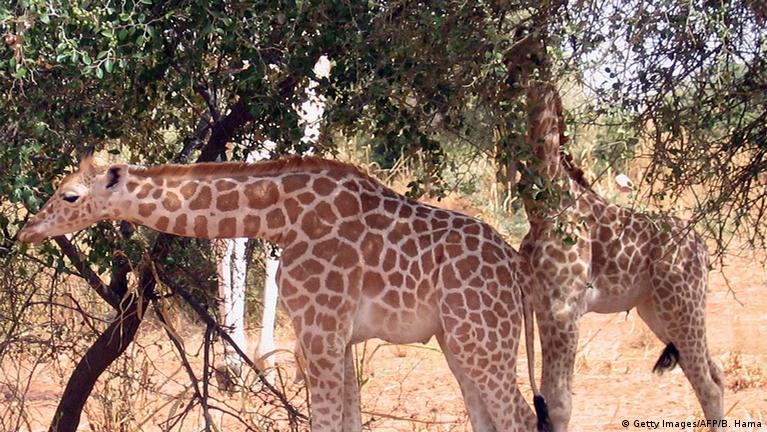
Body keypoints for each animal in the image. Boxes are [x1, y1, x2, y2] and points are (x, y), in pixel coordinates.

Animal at [19, 155, 552, 432]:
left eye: (69, 195)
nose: (27, 229)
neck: (276, 215)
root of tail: (517, 270)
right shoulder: (334, 334)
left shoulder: (320, 329)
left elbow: (328, 423)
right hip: (461, 341)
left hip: (482, 339)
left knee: (523, 418)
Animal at [516, 80, 724, 430]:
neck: (548, 208)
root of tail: (701, 244)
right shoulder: (539, 304)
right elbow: (543, 400)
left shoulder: (563, 308)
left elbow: (558, 404)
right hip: (656, 310)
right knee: (714, 372)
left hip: (682, 306)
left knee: (708, 384)